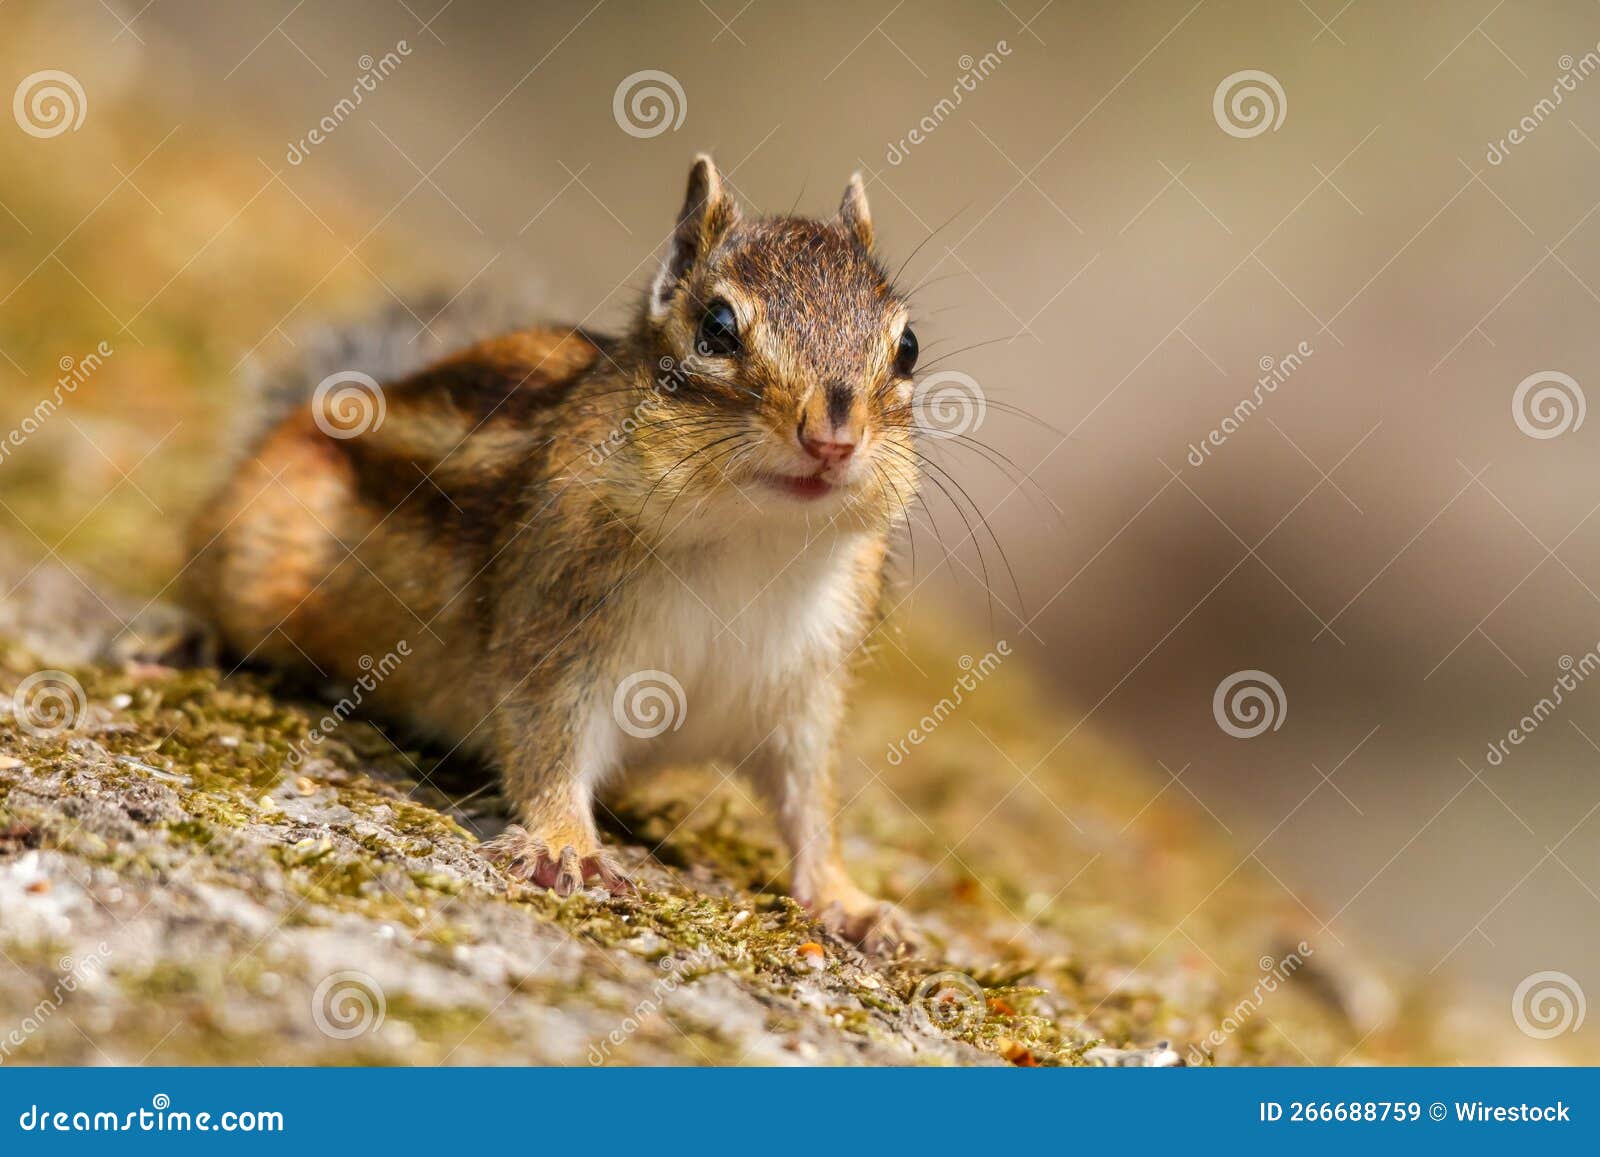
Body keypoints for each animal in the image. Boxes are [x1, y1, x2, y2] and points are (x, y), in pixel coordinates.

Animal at [185, 155, 924, 951]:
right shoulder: (555, 630)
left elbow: (810, 802)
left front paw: (850, 901)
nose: (832, 439)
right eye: (717, 328)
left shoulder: (807, 691)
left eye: (908, 347)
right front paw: (567, 846)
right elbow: (547, 742)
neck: (755, 538)